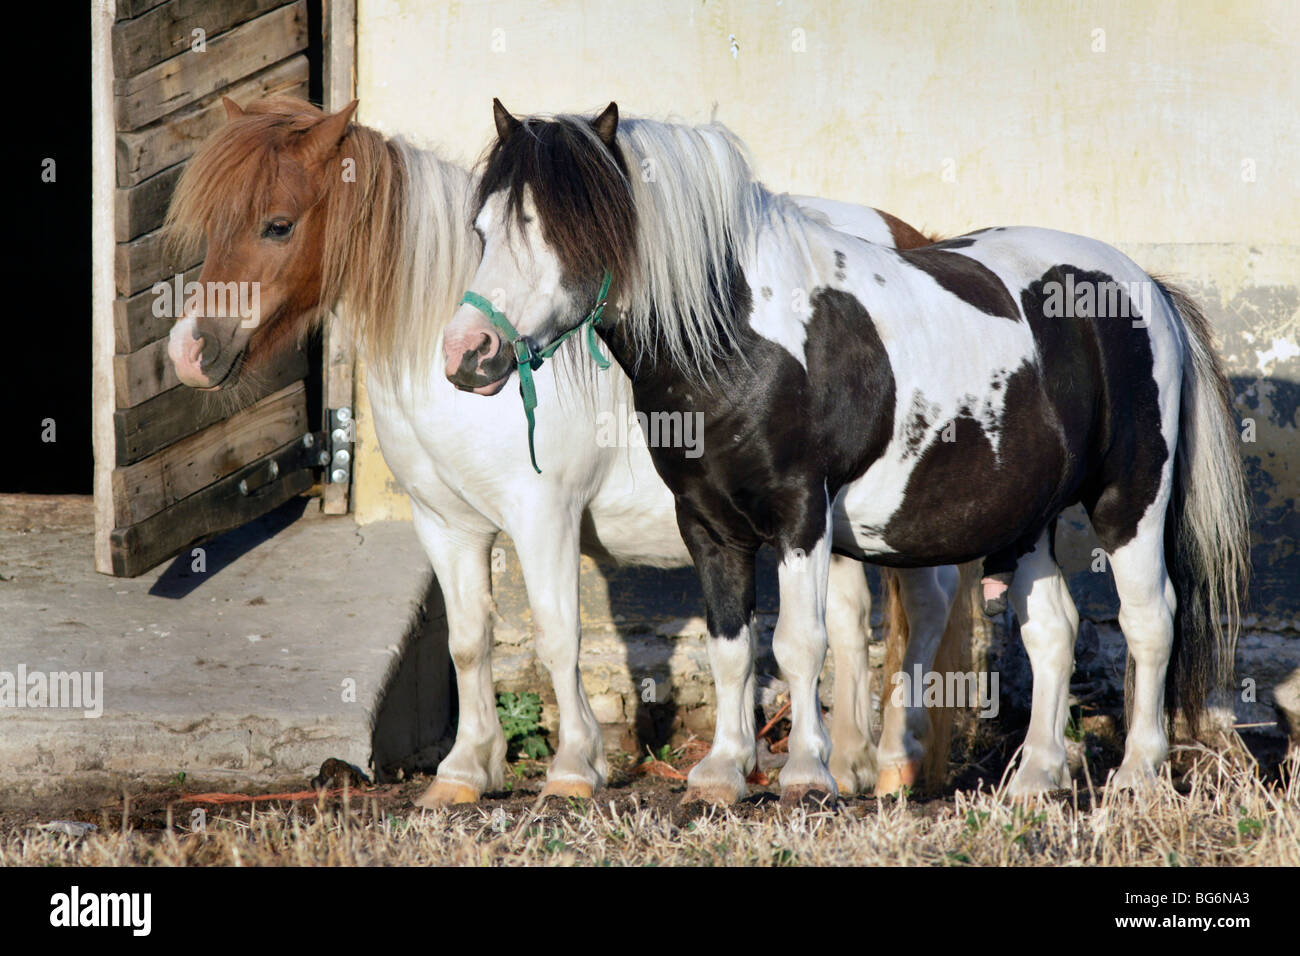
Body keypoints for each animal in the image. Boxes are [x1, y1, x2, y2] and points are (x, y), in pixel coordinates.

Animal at [163, 96, 974, 803]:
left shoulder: (541, 515)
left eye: (277, 224)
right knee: (849, 623)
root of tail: (909, 239)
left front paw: (575, 766)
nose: (189, 352)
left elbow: (558, 636)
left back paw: (894, 764)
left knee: (921, 612)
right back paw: (850, 761)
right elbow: (468, 641)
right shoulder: (445, 523)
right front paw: (465, 771)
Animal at [443, 100, 1250, 802]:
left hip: (1131, 502)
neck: (744, 336)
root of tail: (1148, 287)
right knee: (1053, 632)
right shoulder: (706, 523)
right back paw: (1034, 780)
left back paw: (1139, 775)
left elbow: (803, 643)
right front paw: (722, 775)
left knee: (1149, 622)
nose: (467, 353)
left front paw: (807, 775)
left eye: (571, 232)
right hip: (1029, 522)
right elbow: (732, 646)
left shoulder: (801, 514)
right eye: (481, 230)